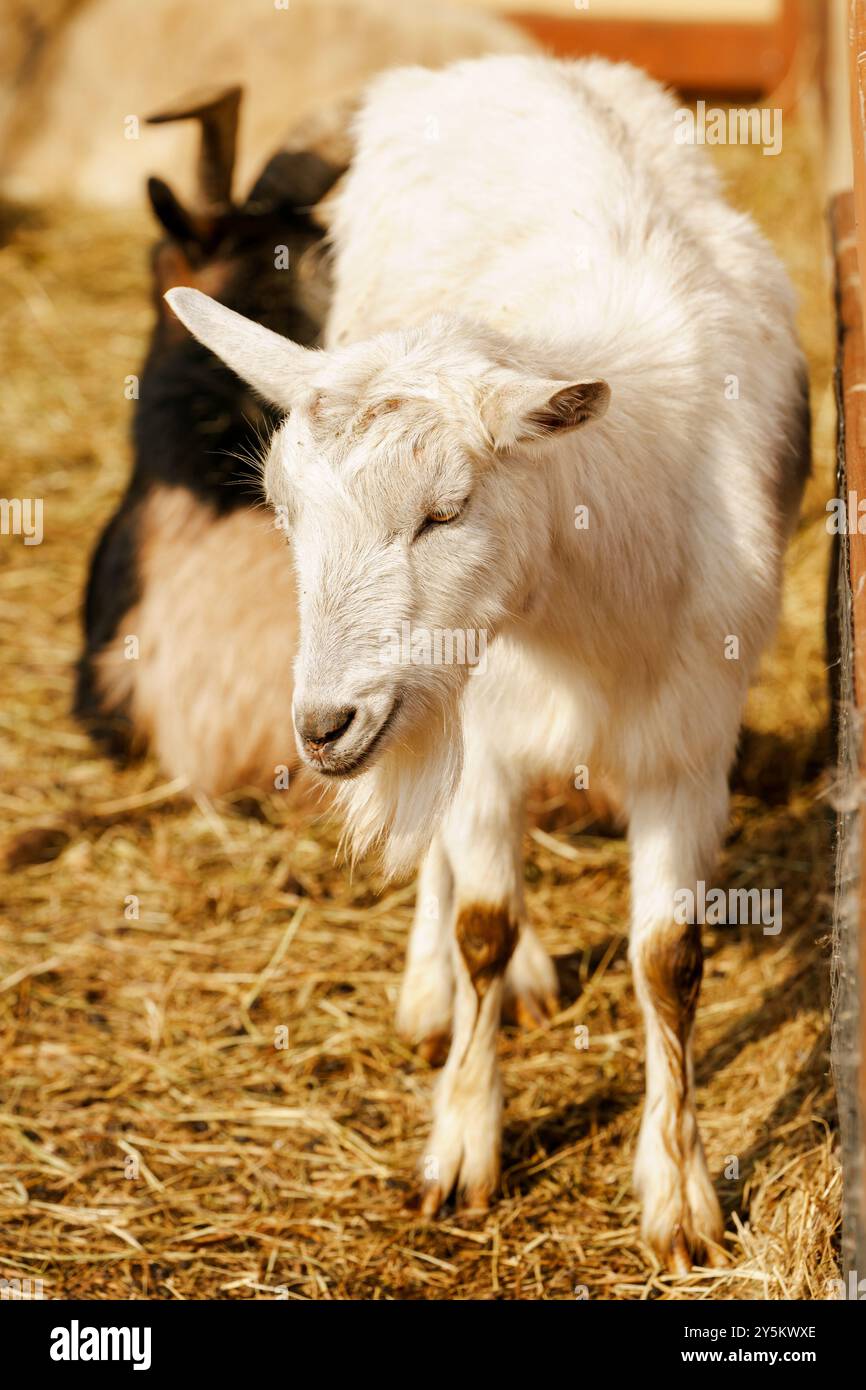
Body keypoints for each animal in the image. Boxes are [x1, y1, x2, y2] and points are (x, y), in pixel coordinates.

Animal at [166, 55, 811, 1271]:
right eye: (281, 509)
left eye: (446, 511)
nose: (321, 725)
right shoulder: (482, 718)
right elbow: (480, 922)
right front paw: (461, 1150)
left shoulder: (691, 737)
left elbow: (669, 959)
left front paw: (680, 1199)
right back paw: (439, 988)